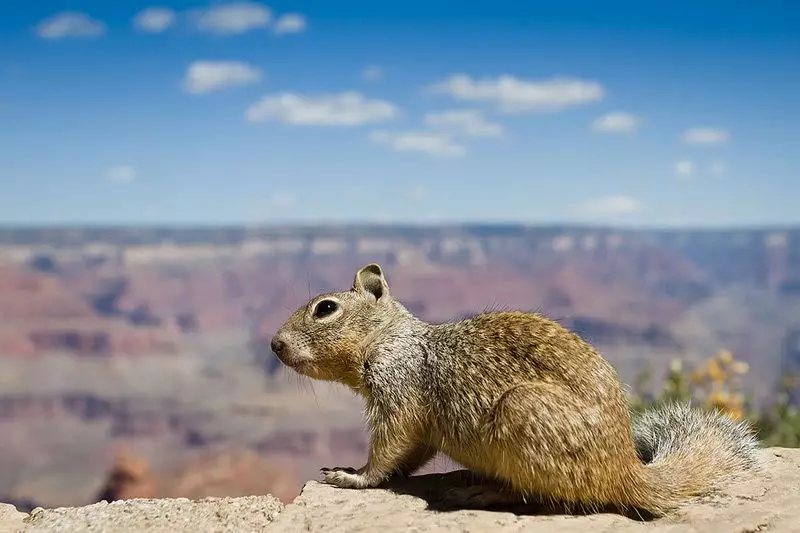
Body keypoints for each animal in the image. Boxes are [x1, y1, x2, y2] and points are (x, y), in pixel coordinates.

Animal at [270, 262, 764, 516]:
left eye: (325, 308)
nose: (274, 344)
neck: (390, 337)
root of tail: (626, 470)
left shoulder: (397, 392)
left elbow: (389, 448)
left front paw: (352, 476)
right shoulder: (420, 428)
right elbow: (411, 456)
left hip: (522, 414)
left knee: (552, 497)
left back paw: (485, 492)